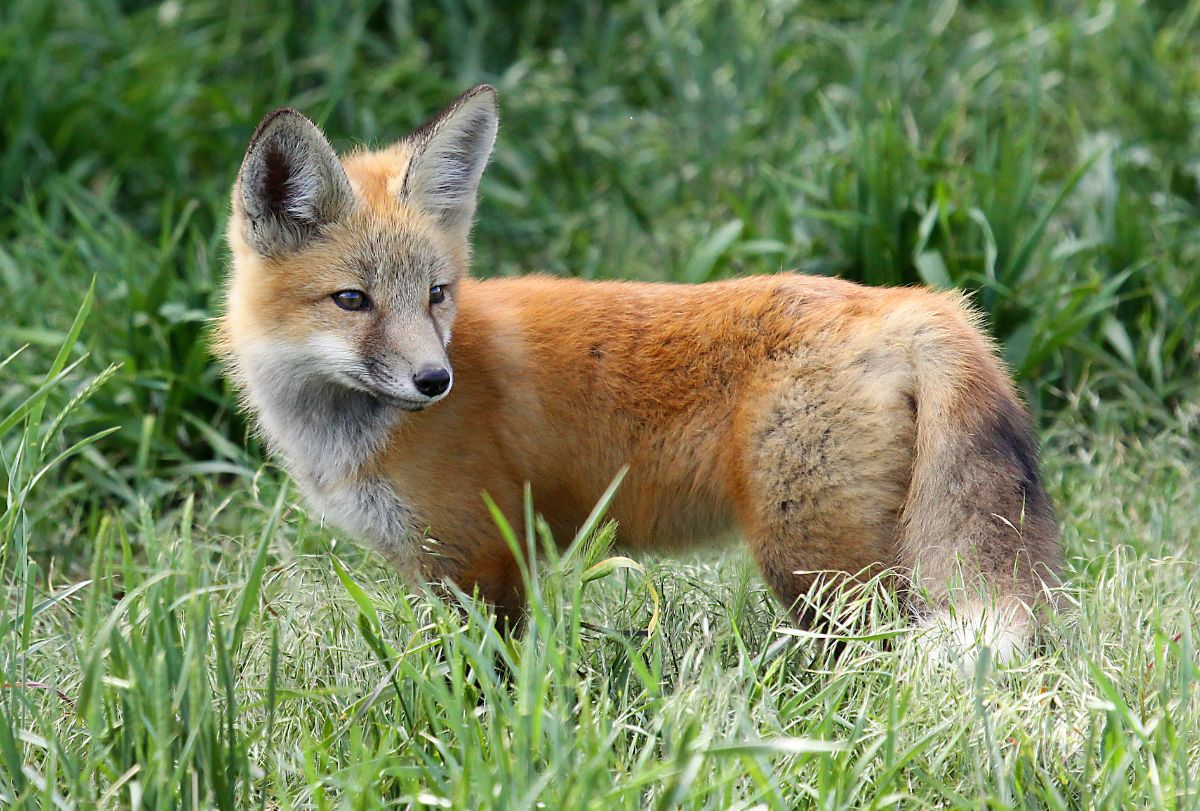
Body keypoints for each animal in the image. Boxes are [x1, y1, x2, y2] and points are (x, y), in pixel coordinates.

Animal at [217, 85, 1061, 662]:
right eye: (352, 300)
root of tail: (916, 301)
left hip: (814, 563)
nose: (434, 381)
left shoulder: (482, 557)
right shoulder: (437, 565)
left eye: (435, 293)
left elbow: (481, 683)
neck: (344, 437)